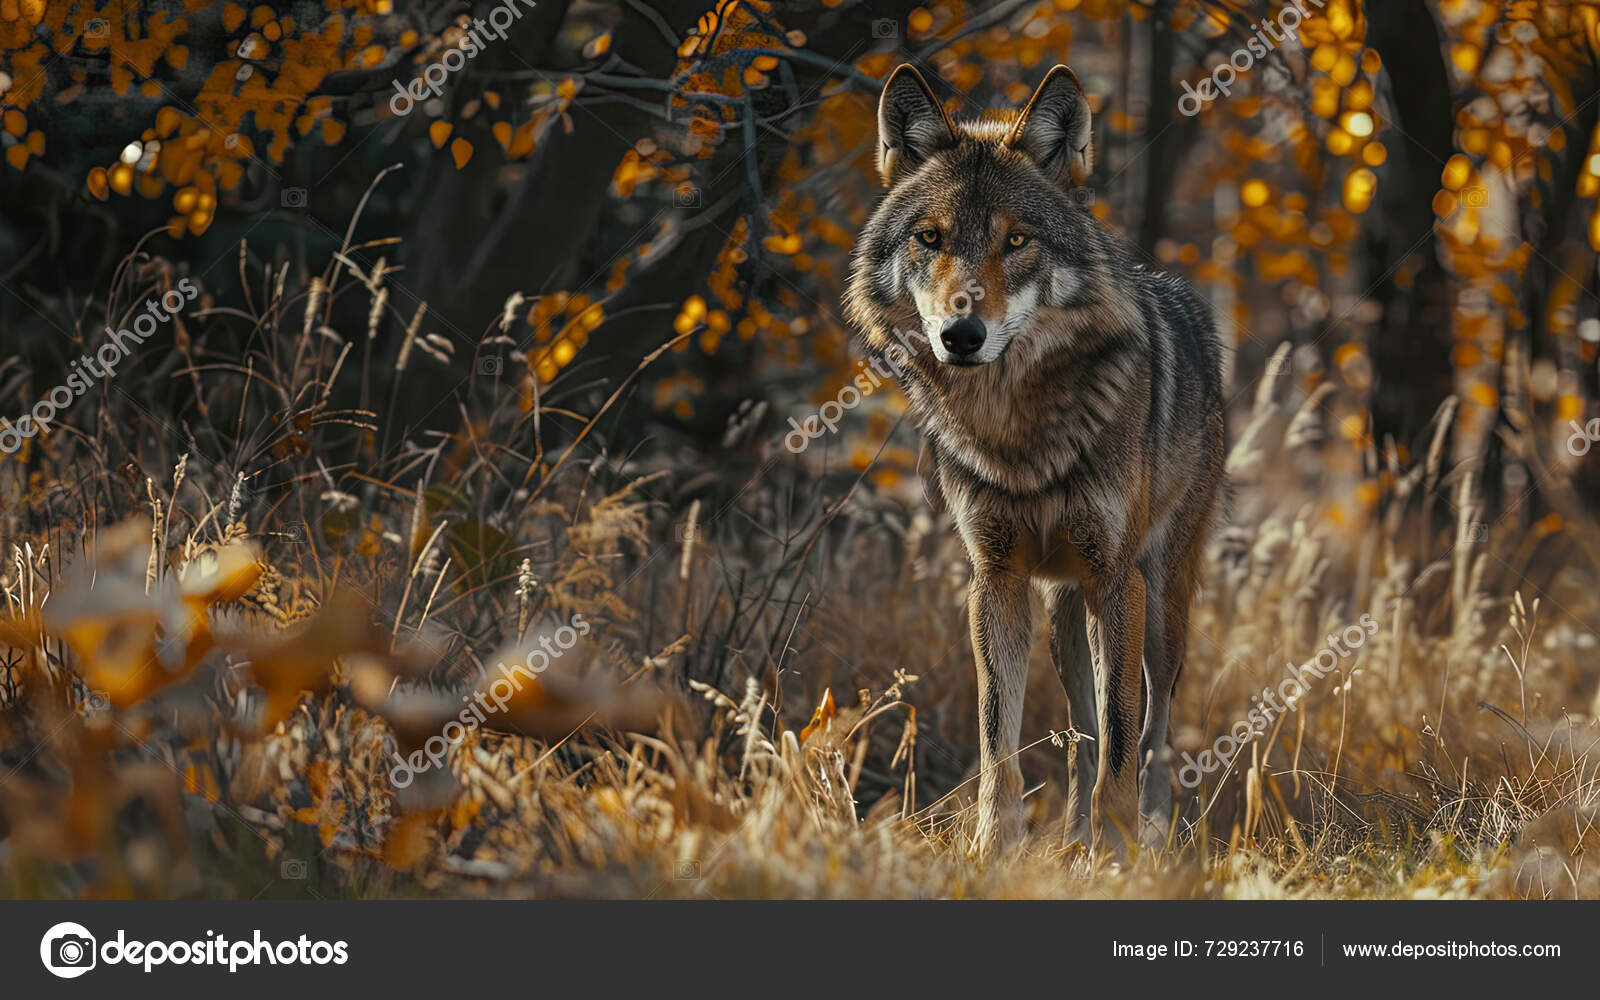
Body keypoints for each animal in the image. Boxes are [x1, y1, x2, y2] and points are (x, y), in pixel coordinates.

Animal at [845, 64, 1226, 856]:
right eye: (929, 237)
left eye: (1017, 239)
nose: (961, 334)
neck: (1016, 429)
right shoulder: (996, 580)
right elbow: (1002, 738)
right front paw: (995, 849)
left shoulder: (1116, 580)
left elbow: (1124, 736)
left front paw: (1117, 856)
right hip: (1062, 614)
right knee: (1082, 731)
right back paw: (1073, 841)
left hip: (1161, 603)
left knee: (1153, 729)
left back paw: (1150, 837)